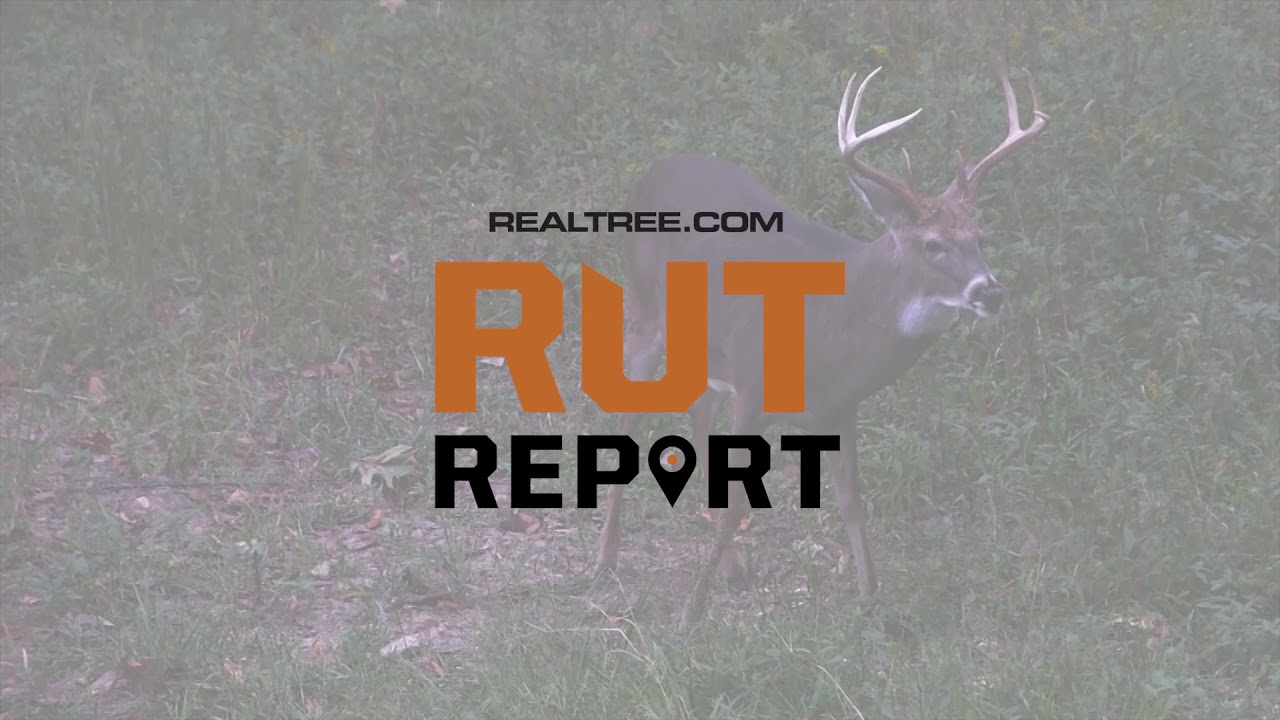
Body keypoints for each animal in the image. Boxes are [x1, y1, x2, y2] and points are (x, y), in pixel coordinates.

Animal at [593, 63, 1049, 627]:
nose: (991, 291)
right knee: (630, 414)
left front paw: (870, 595)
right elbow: (743, 501)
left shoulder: (838, 405)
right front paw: (690, 612)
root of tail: (651, 172)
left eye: (980, 237)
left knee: (698, 414)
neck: (834, 327)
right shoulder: (755, 383)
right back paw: (606, 561)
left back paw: (734, 571)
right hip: (643, 309)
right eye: (933, 244)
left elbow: (852, 497)